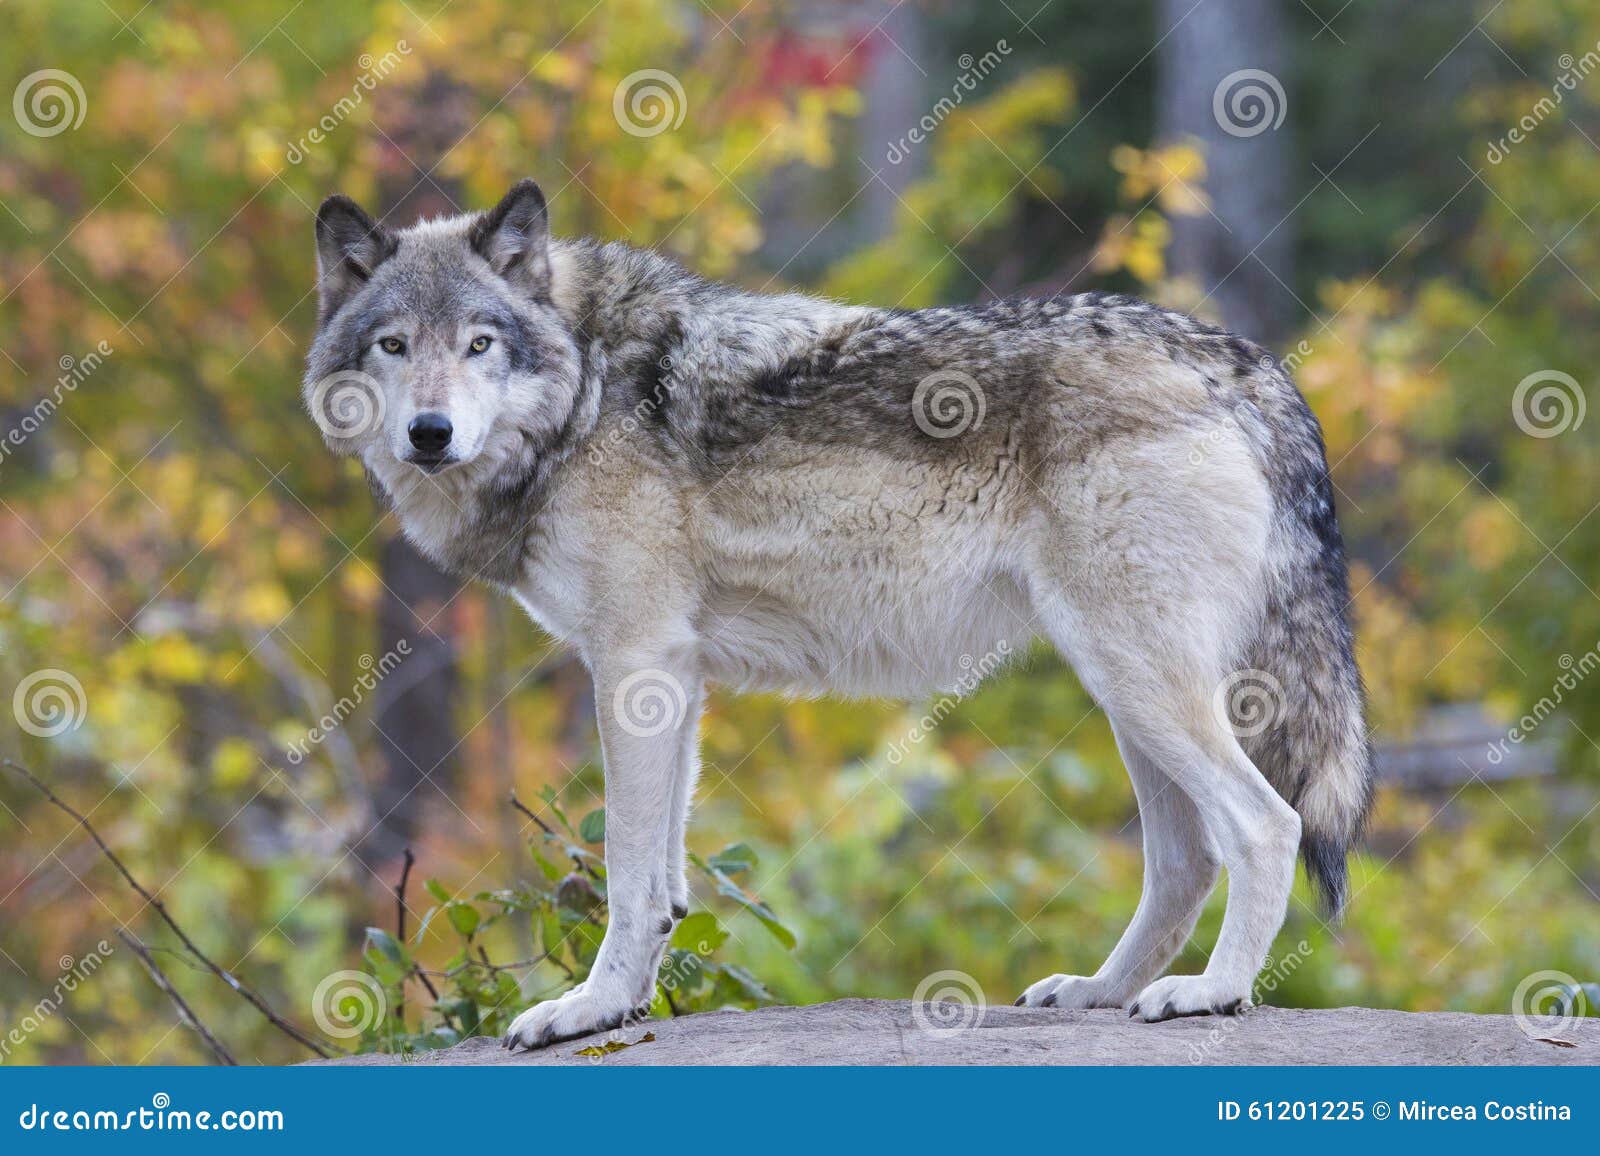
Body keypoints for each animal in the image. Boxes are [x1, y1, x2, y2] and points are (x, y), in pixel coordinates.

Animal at [305, 179, 1372, 1049]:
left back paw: (1212, 994)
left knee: (1265, 825)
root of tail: (1246, 363)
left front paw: (590, 1010)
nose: (430, 433)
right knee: (1184, 862)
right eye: (394, 347)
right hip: (1125, 694)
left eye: (479, 345)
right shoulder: (672, 675)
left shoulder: (635, 663)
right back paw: (1100, 993)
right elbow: (665, 882)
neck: (585, 390)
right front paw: (631, 1004)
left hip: (1140, 681)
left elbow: (626, 872)